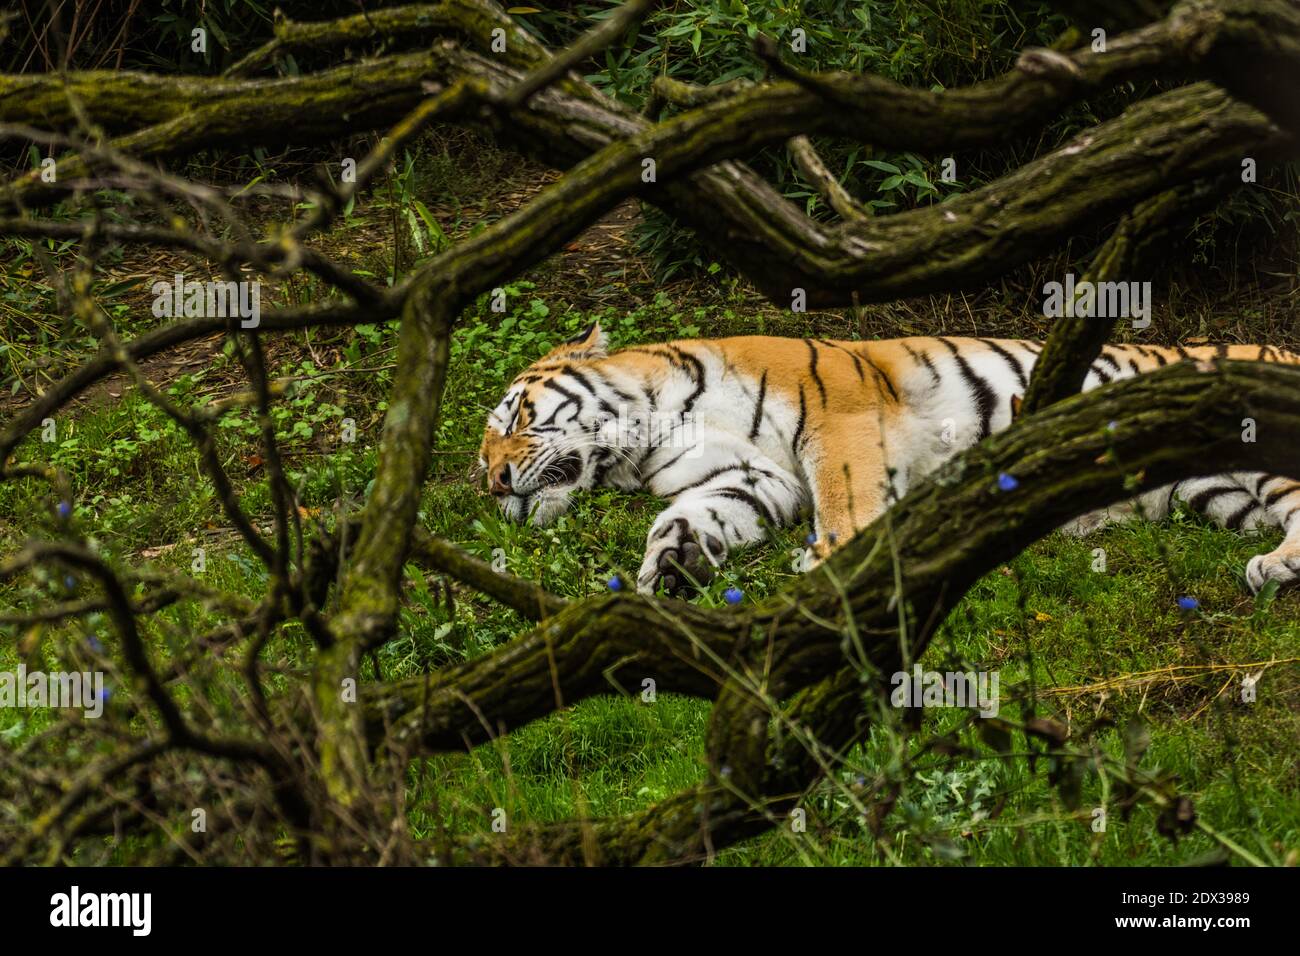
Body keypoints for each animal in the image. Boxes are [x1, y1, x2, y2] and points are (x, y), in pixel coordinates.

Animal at [478, 322, 1300, 597]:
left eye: (516, 416)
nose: (493, 485)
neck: (652, 429)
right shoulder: (752, 476)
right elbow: (696, 515)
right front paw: (671, 565)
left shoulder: (835, 413)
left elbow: (845, 503)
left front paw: (827, 562)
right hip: (1212, 487)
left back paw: (1276, 567)